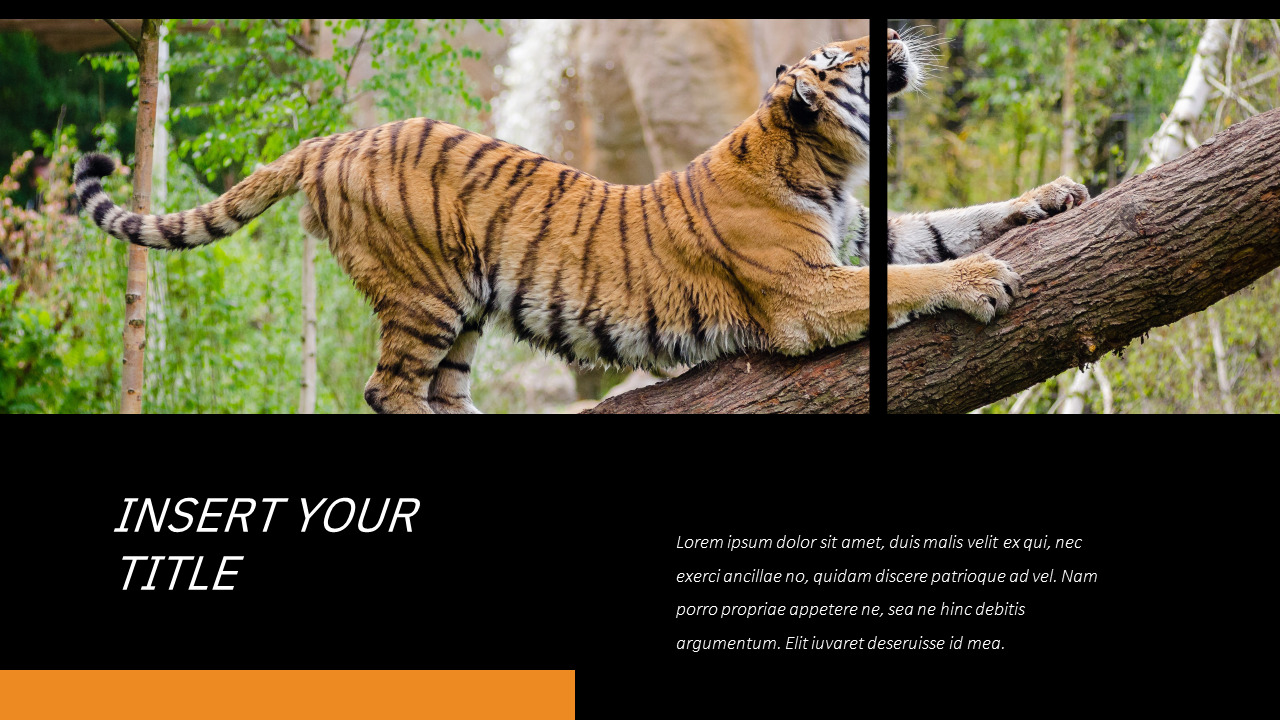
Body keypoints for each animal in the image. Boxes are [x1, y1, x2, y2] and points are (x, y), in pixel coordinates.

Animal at [75, 37, 872, 414]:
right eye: (843, 57)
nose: (889, 41)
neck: (817, 162)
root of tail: (333, 138)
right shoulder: (806, 296)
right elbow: (898, 281)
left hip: (465, 308)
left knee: (444, 391)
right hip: (429, 293)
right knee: (391, 389)